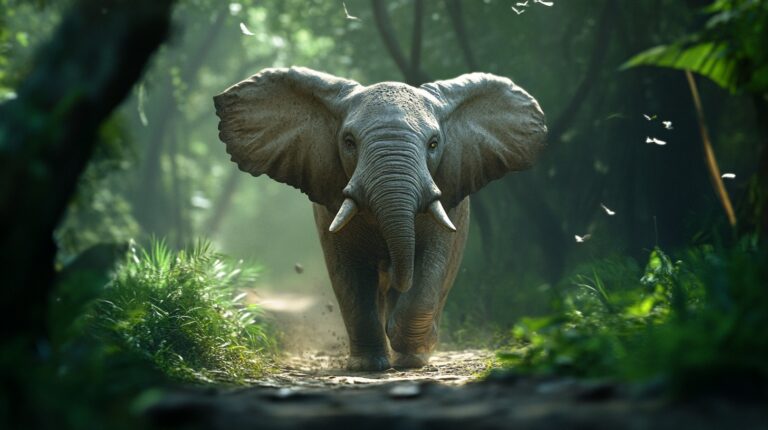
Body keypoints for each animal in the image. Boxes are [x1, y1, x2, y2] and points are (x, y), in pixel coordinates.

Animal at [214, 67, 546, 371]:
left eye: (434, 144)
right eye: (349, 142)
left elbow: (431, 266)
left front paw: (408, 353)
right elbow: (350, 275)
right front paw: (368, 365)